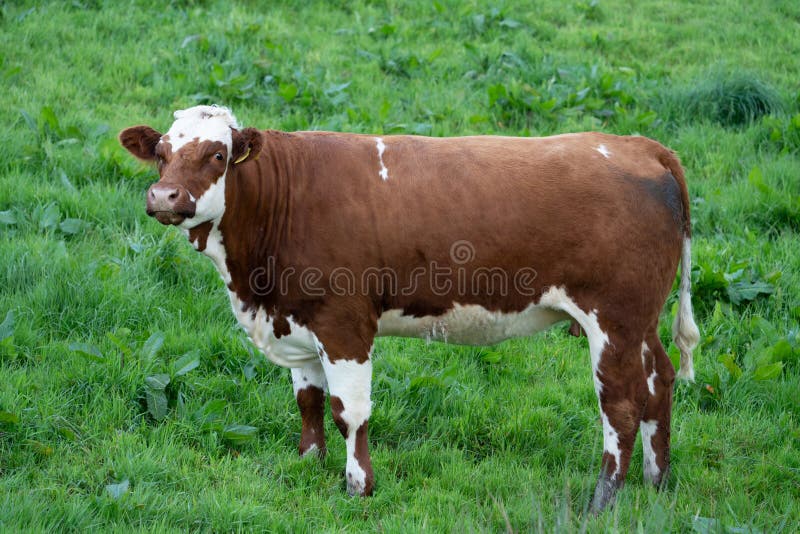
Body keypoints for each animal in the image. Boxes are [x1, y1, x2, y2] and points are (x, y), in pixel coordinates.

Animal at [119, 105, 700, 513]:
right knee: (660, 382)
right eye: (161, 153)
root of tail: (638, 145)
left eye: (216, 156)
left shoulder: (345, 323)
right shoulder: (295, 320)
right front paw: (308, 465)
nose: (165, 196)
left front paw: (359, 487)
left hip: (614, 319)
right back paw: (658, 481)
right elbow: (308, 401)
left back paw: (602, 502)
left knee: (621, 405)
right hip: (641, 321)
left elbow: (348, 411)